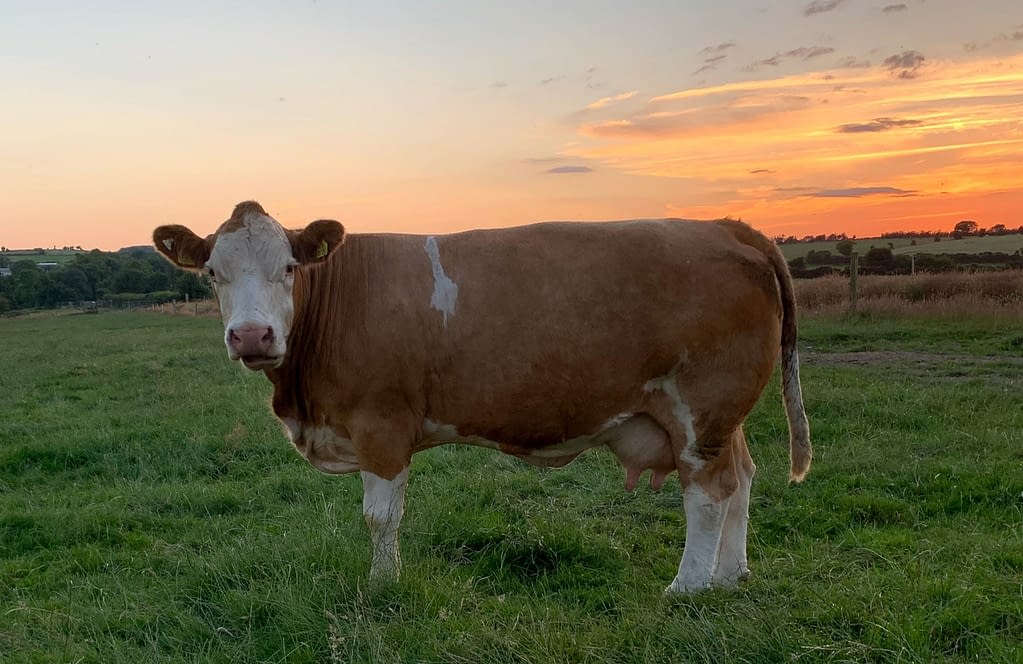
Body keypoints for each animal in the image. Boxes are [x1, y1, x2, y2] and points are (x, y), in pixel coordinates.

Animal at [153, 201, 811, 594]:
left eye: (289, 267)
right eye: (211, 273)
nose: (251, 336)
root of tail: (721, 224)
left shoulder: (381, 424)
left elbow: (380, 516)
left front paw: (383, 586)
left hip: (702, 406)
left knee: (707, 493)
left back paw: (689, 586)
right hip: (720, 416)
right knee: (741, 477)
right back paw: (730, 575)